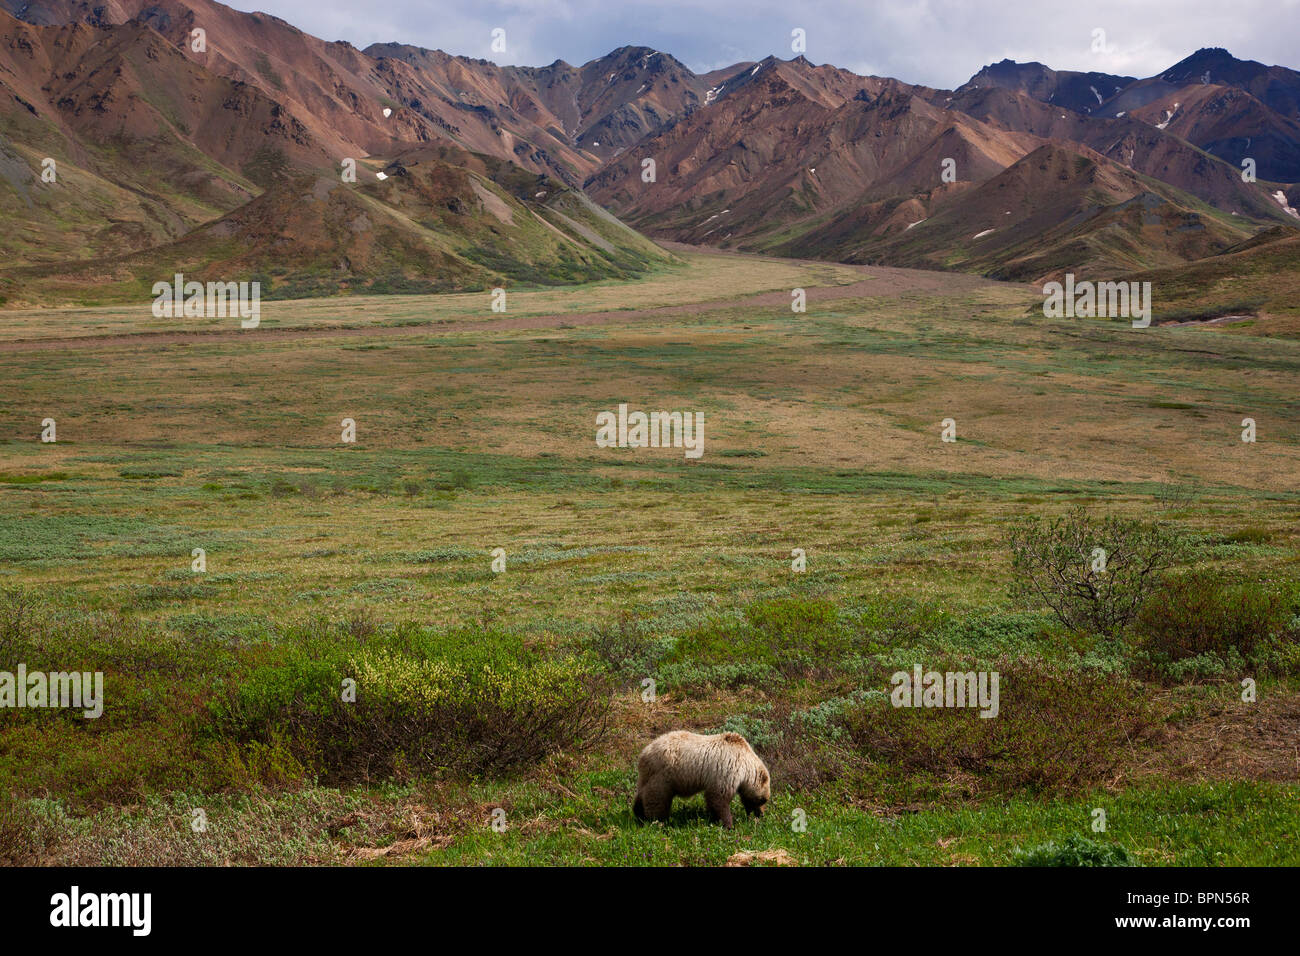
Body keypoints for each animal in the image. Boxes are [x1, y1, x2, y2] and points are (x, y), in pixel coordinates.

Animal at [632, 730, 770, 829]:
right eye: (763, 800)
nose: (761, 814)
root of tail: (644, 753)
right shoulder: (727, 768)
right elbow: (718, 798)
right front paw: (728, 824)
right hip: (663, 775)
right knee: (657, 798)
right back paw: (657, 820)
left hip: (648, 776)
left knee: (642, 793)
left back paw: (639, 814)